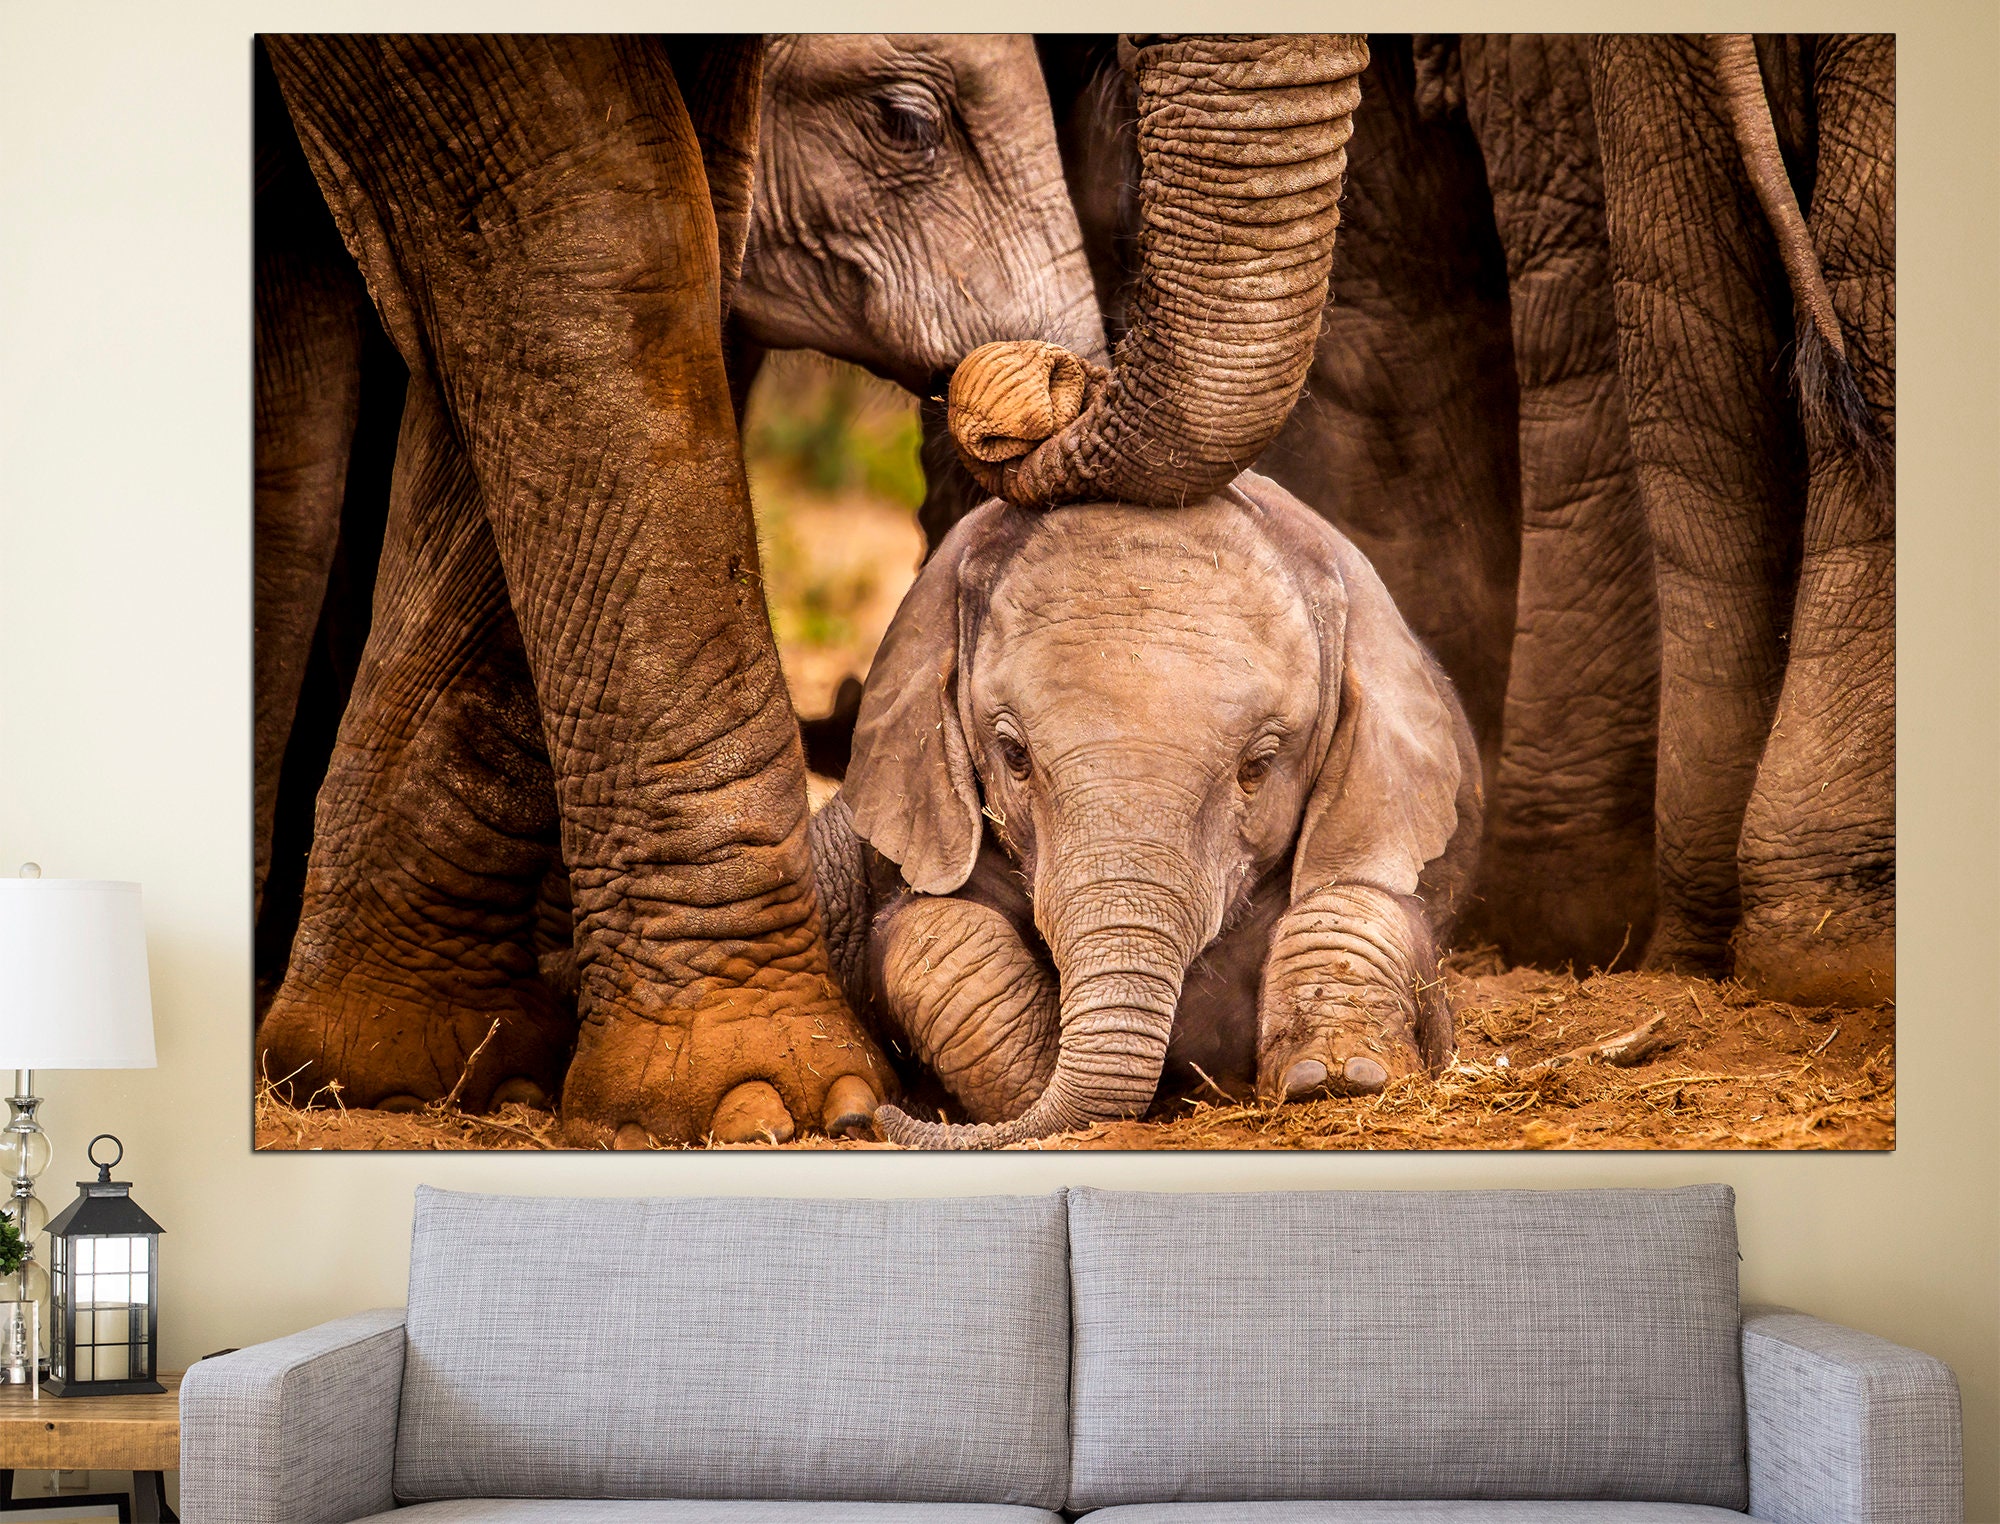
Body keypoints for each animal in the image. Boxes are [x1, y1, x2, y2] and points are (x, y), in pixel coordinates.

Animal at [809, 466, 1480, 1148]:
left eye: (1258, 766)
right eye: (1014, 755)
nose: (876, 1120)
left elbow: (1356, 900)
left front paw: (1335, 1078)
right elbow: (936, 931)